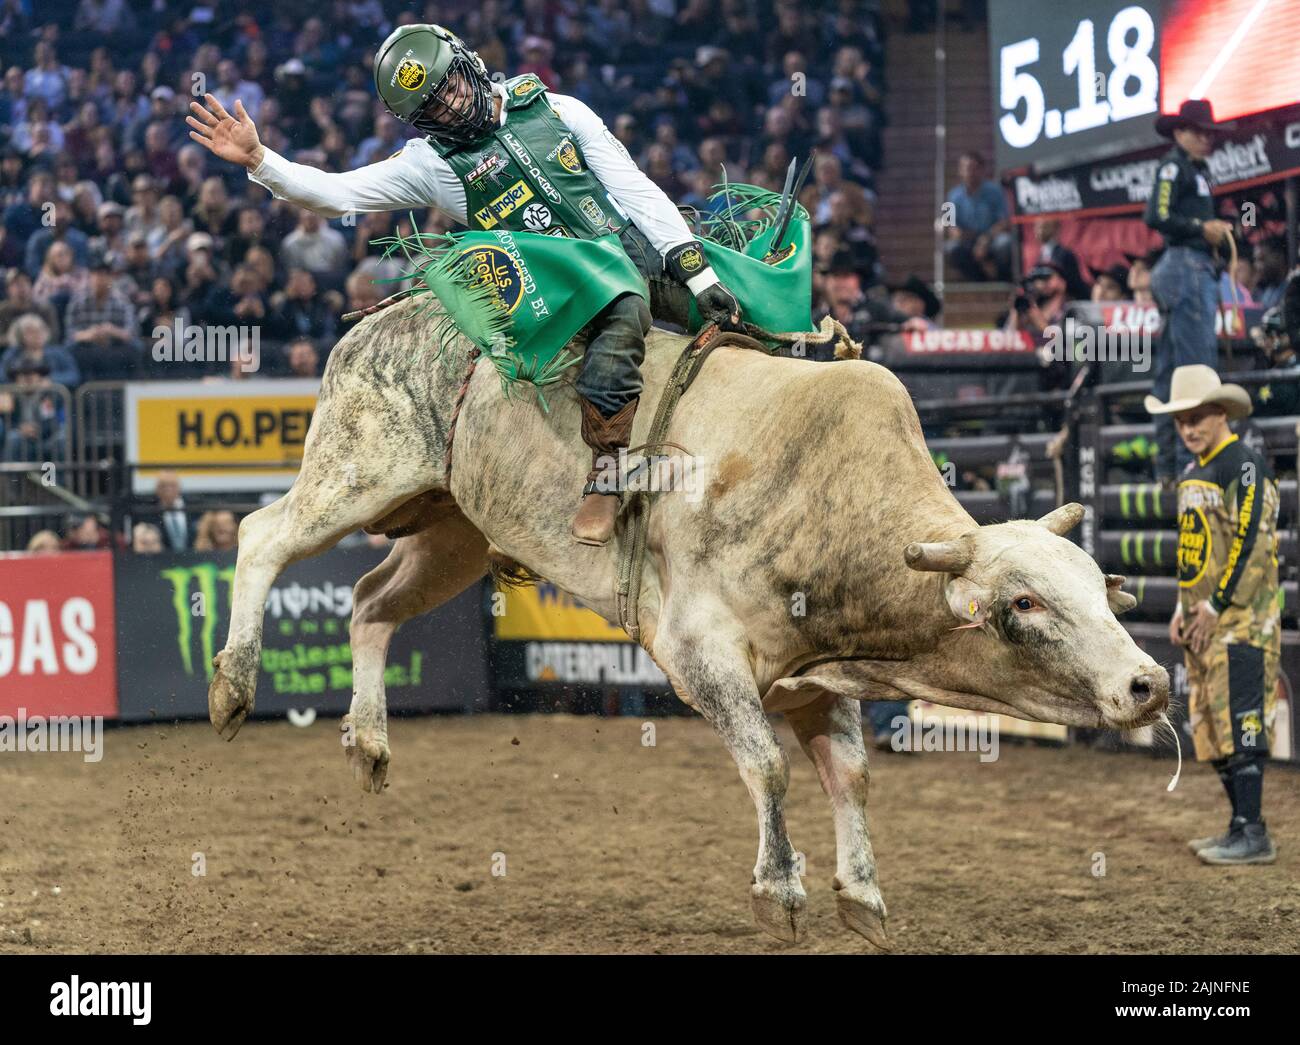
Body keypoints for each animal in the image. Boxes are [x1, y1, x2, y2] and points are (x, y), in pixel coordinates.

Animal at [207, 296, 1170, 948]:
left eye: (1100, 588)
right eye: (1024, 603)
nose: (1149, 682)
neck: (827, 496)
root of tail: (380, 318)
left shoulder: (813, 671)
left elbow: (850, 775)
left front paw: (860, 895)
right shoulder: (698, 652)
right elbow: (768, 765)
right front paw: (779, 890)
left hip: (454, 530)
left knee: (370, 601)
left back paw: (369, 741)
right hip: (357, 469)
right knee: (262, 535)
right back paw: (232, 687)